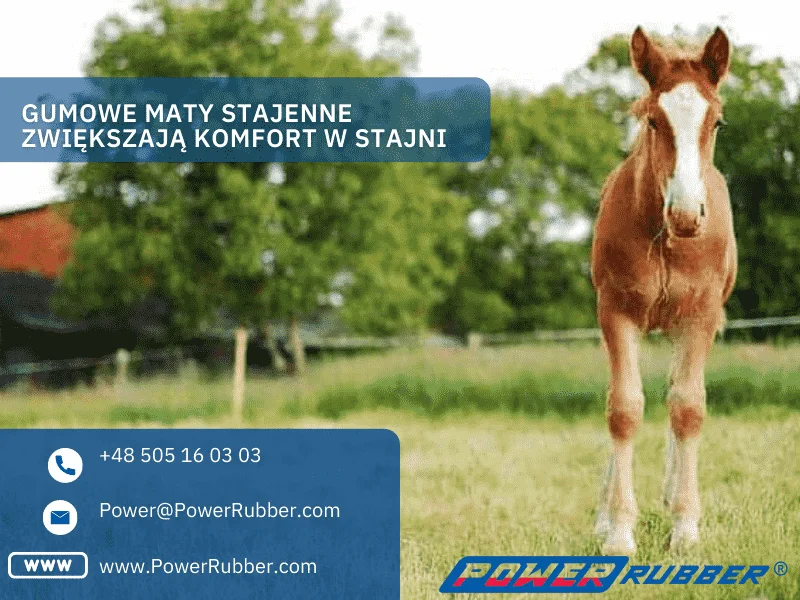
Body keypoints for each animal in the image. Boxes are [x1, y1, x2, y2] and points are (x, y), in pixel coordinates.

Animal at [590, 26, 737, 554]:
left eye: (717, 122)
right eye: (654, 120)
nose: (688, 215)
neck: (665, 239)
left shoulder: (700, 316)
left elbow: (689, 407)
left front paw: (686, 528)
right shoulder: (615, 311)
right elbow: (623, 407)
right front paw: (617, 531)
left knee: (679, 394)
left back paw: (674, 493)